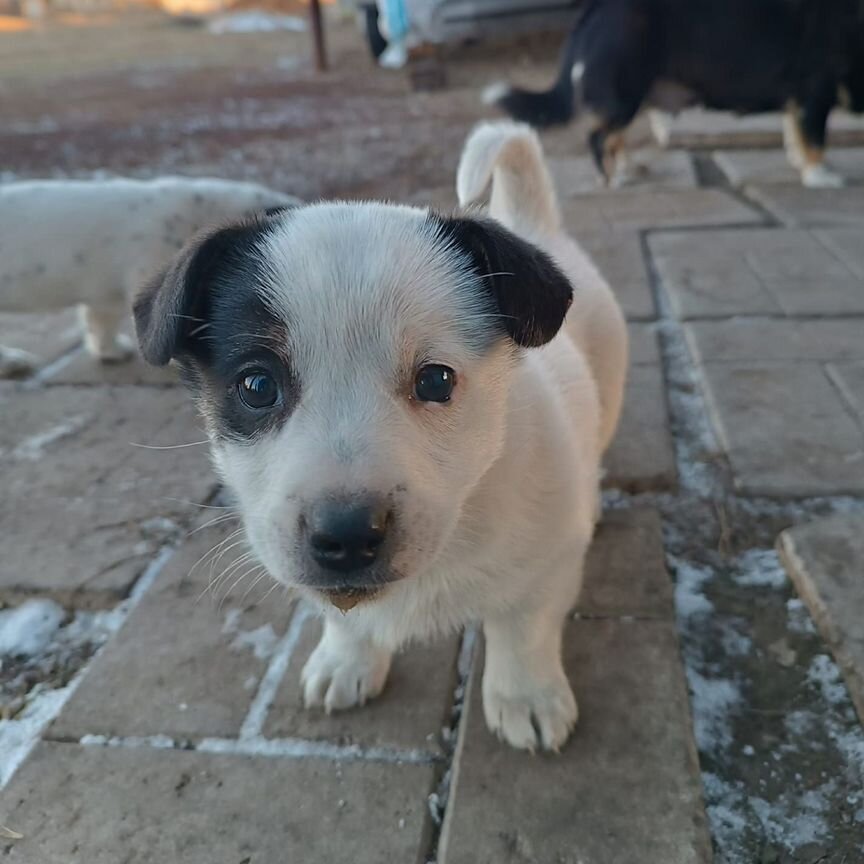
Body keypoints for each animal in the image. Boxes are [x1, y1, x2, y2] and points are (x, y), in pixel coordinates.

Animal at [133, 125, 628, 752]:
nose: (346, 536)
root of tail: (532, 224)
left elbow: (522, 630)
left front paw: (527, 697)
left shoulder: (546, 566)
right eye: (257, 385)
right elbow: (342, 620)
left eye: (437, 380)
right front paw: (345, 661)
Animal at [486, 0, 864, 187]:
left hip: (630, 97)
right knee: (598, 137)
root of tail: (596, 10)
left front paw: (802, 163)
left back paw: (628, 169)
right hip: (625, 94)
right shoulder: (816, 93)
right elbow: (814, 139)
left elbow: (795, 136)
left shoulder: (799, 102)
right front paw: (820, 175)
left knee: (614, 138)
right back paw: (612, 178)